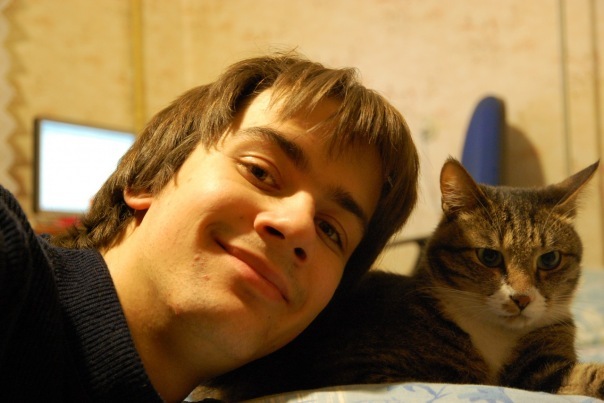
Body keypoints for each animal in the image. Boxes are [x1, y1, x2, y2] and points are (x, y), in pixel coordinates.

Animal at [202, 157, 603, 401]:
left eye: (549, 259)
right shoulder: (363, 365)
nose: (522, 298)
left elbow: (576, 377)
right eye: (489, 256)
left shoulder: (544, 366)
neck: (493, 335)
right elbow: (460, 377)